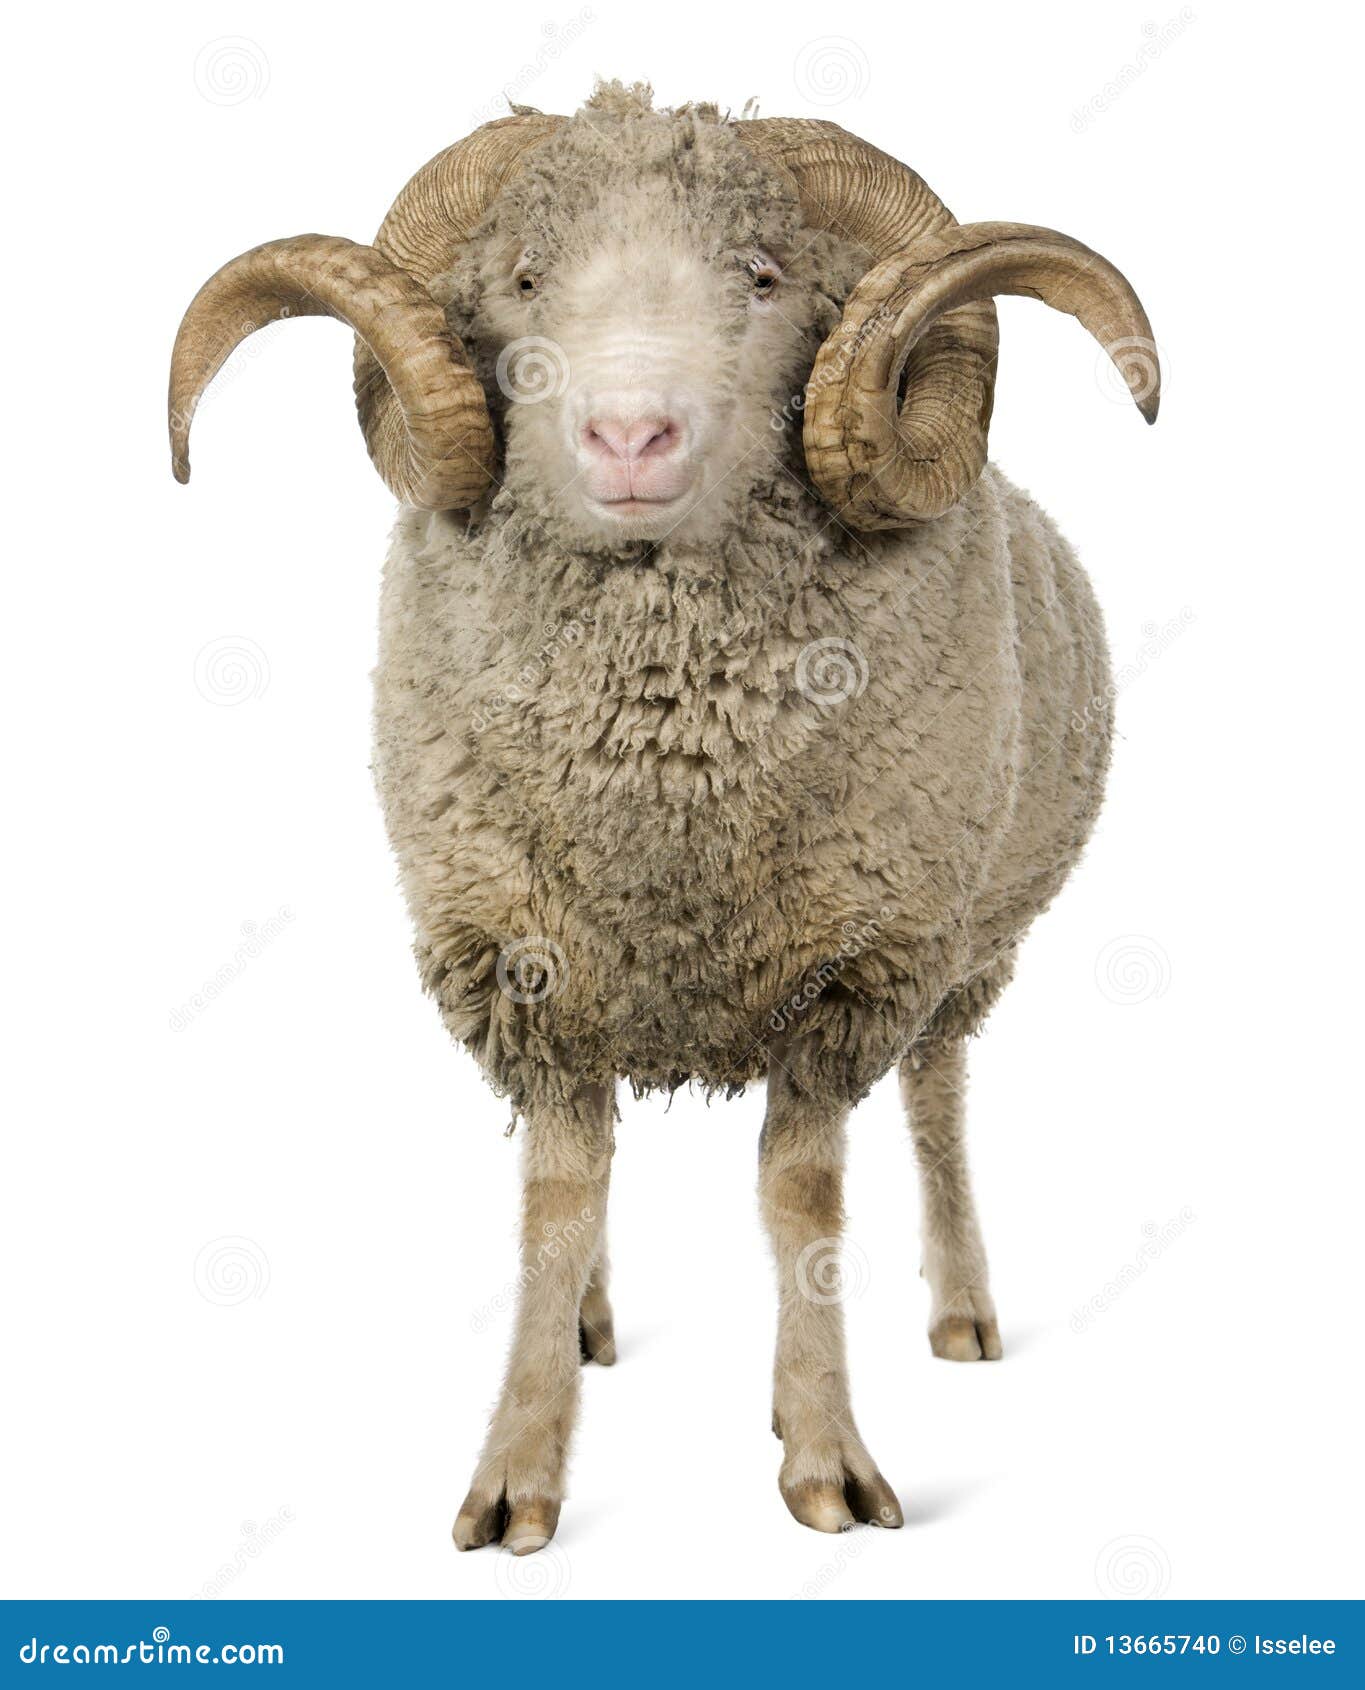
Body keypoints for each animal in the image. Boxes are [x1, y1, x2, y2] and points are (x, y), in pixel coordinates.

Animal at [168, 81, 1159, 1555]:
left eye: (763, 275)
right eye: (523, 280)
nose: (631, 438)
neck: (665, 782)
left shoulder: (853, 970)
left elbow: (801, 1204)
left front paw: (824, 1459)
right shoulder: (525, 961)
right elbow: (557, 1202)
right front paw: (518, 1467)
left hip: (970, 942)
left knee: (938, 1093)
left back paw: (961, 1310)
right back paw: (587, 1326)